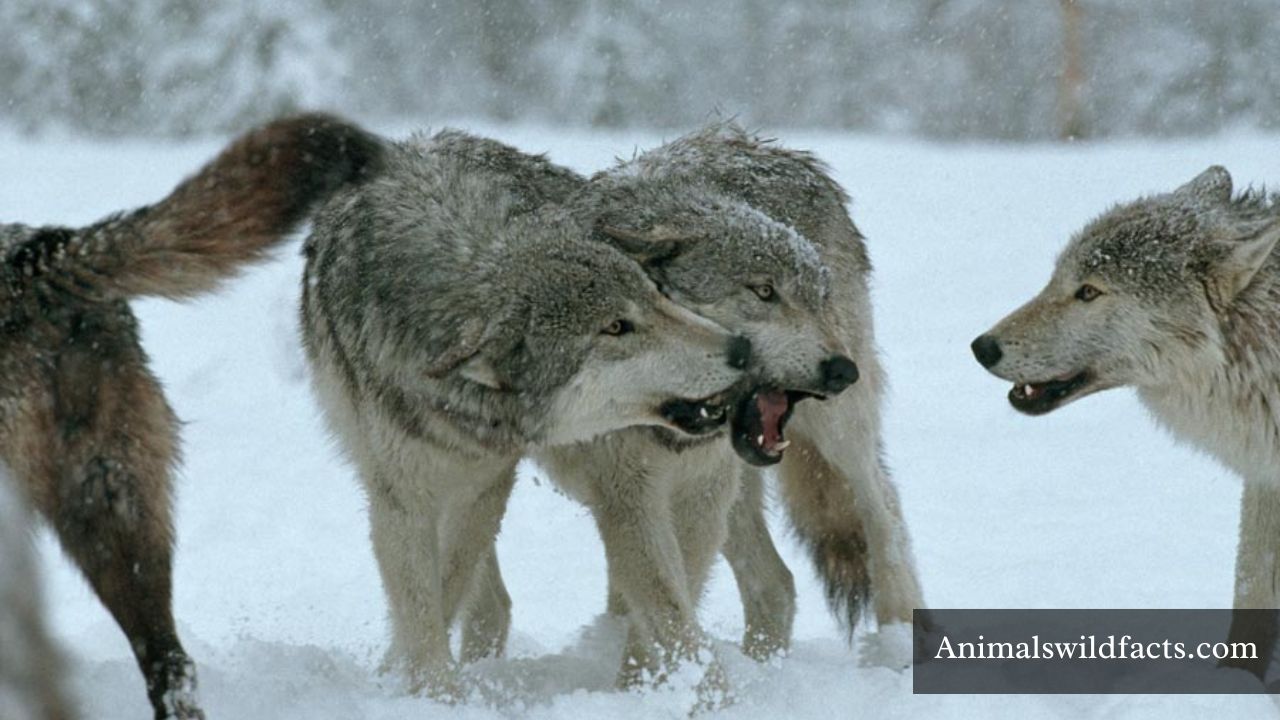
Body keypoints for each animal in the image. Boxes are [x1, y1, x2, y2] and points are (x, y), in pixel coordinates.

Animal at [299, 130, 752, 700]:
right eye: (616, 327)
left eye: (656, 294)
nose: (742, 348)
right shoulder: (401, 496)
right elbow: (422, 610)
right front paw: (431, 694)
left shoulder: (481, 482)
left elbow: (445, 586)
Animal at [972, 166, 1280, 679]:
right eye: (1056, 278)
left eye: (1089, 291)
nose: (981, 347)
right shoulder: (1264, 475)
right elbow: (1251, 587)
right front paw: (1234, 684)